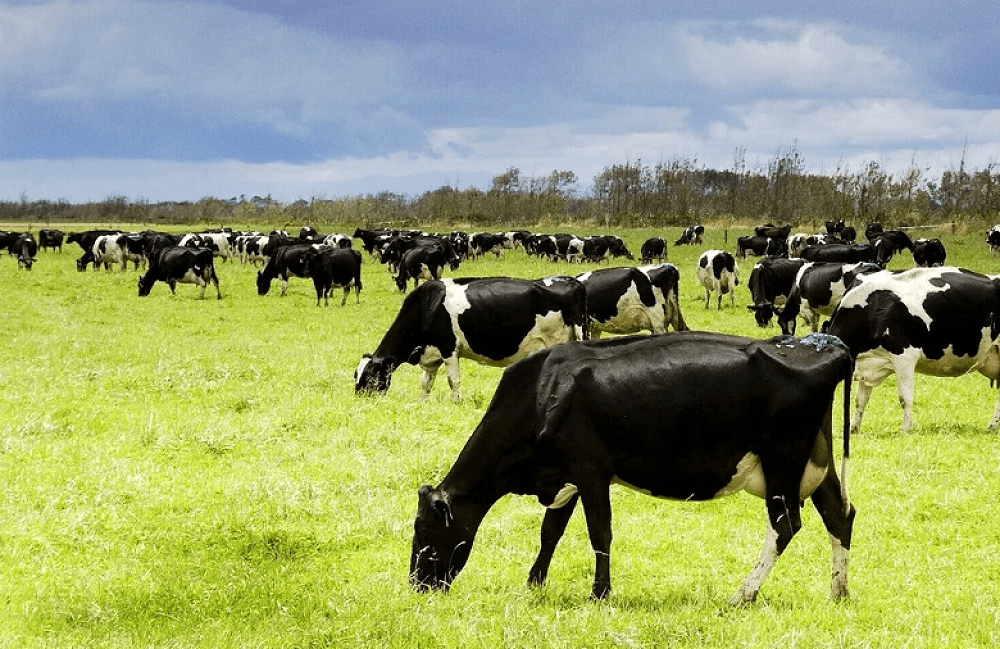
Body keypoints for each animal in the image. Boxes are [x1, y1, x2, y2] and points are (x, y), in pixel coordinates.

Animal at [355, 276, 589, 402]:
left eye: (371, 377)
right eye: (355, 375)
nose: (360, 400)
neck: (427, 306)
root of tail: (569, 280)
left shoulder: (449, 348)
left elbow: (453, 380)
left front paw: (456, 402)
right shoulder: (431, 355)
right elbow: (426, 383)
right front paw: (423, 403)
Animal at [409, 331, 856, 605]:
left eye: (424, 530)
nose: (417, 585)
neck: (541, 391)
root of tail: (827, 345)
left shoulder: (590, 469)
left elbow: (599, 532)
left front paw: (599, 593)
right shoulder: (565, 474)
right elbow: (550, 532)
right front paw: (535, 583)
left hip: (783, 458)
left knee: (785, 525)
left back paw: (742, 594)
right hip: (816, 464)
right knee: (840, 515)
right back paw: (838, 592)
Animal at [827, 267, 1000, 434]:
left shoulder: (904, 356)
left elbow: (905, 397)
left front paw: (905, 429)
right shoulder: (868, 363)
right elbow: (860, 400)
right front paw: (853, 428)